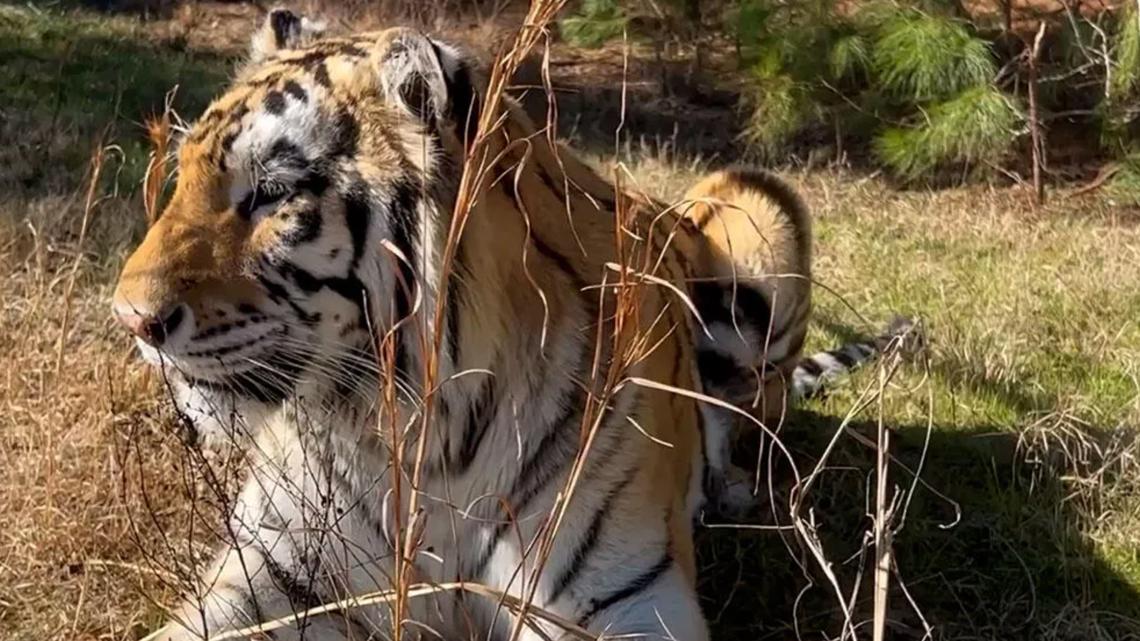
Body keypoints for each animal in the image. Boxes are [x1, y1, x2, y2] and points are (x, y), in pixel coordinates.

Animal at [110, 10, 915, 641]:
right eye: (182, 176)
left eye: (272, 193)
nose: (130, 319)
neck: (419, 430)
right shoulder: (274, 566)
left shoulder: (621, 599)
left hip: (760, 201)